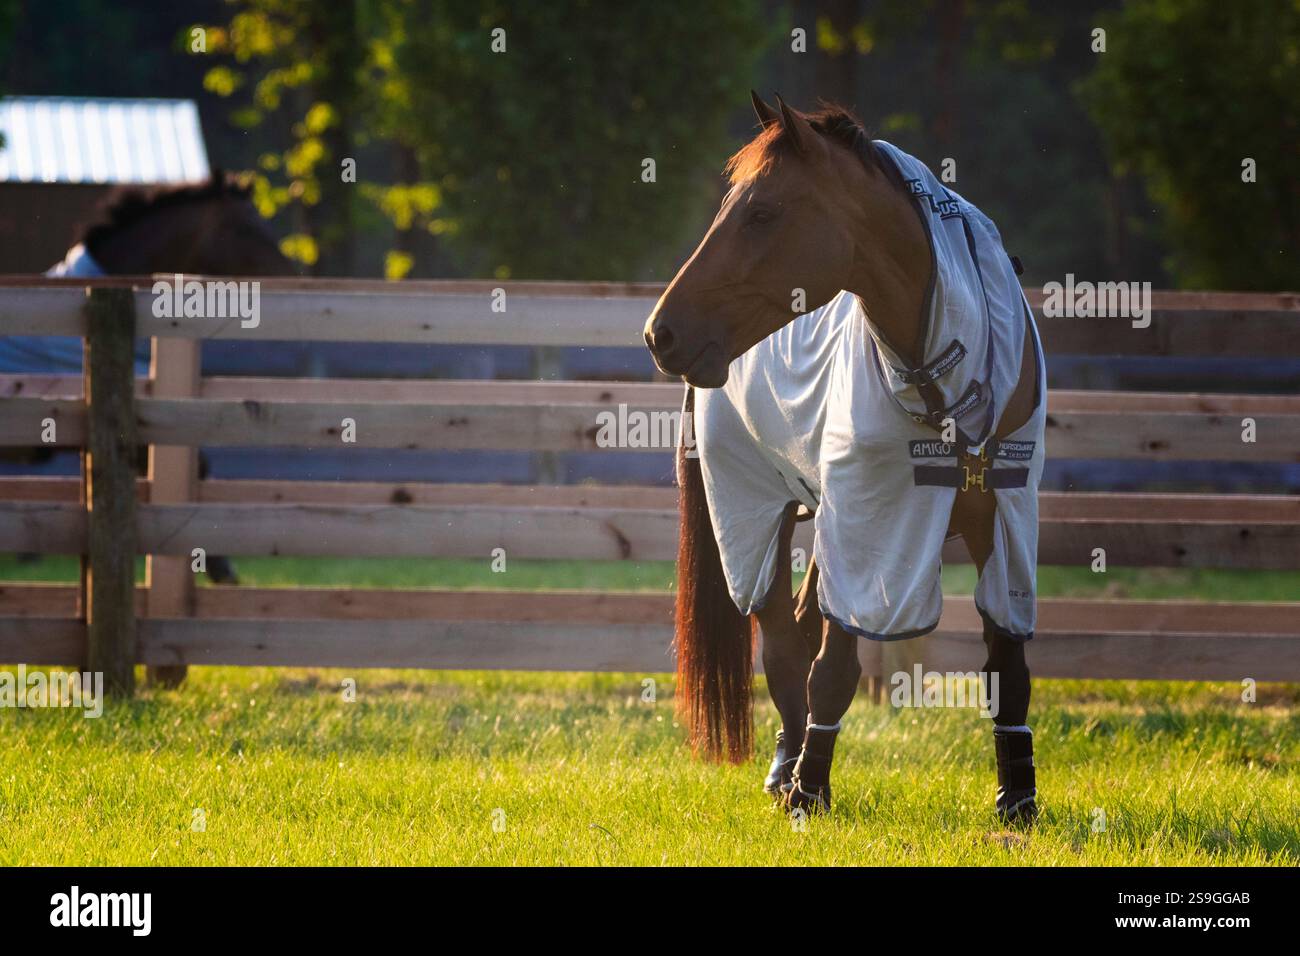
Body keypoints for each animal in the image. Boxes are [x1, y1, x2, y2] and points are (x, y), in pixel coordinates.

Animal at [644, 94, 1044, 824]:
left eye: (762, 212)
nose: (663, 333)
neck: (950, 375)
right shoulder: (868, 529)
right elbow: (832, 669)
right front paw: (809, 791)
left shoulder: (1003, 521)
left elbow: (1007, 666)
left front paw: (1018, 801)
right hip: (756, 517)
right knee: (782, 644)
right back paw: (786, 768)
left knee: (799, 632)